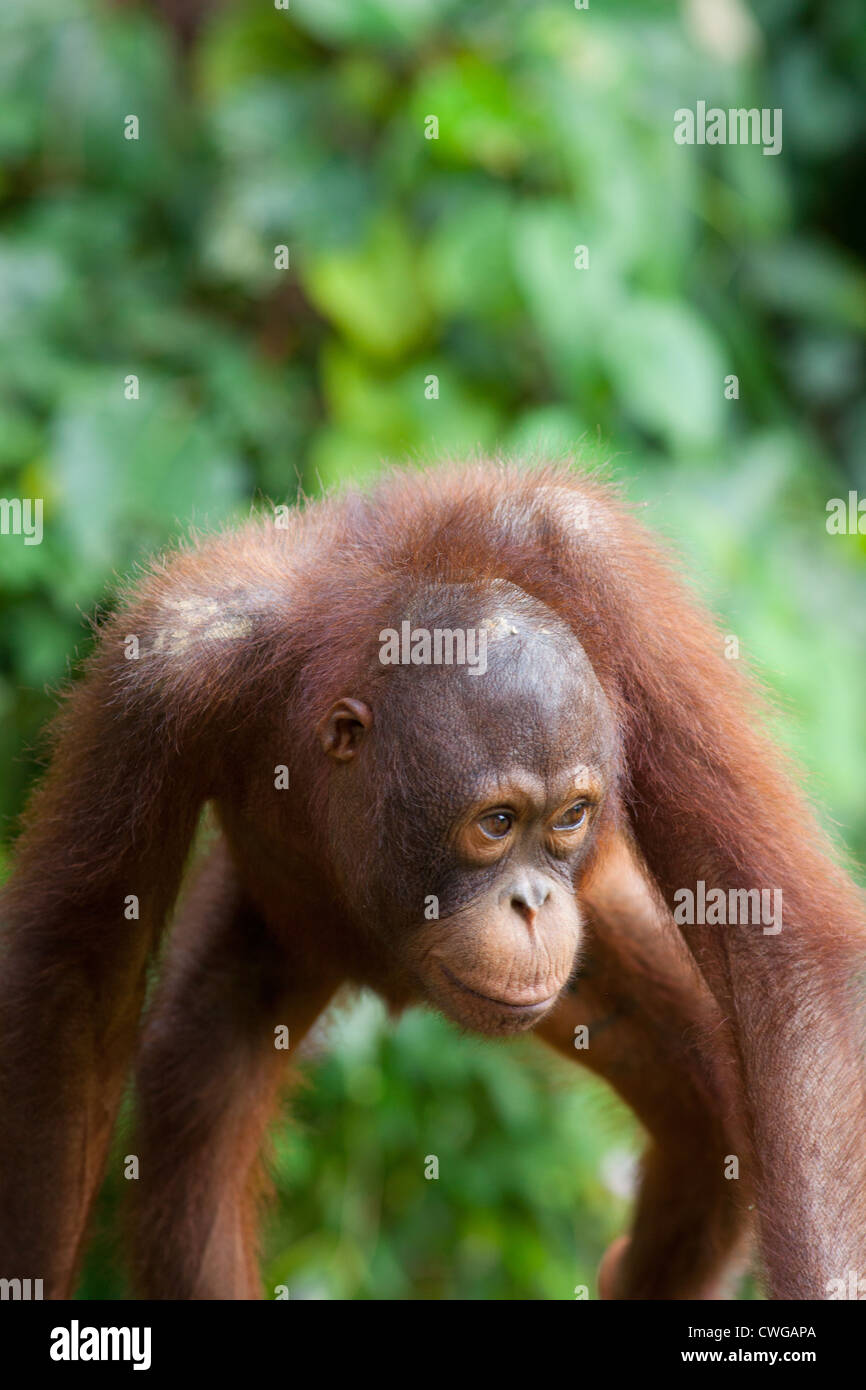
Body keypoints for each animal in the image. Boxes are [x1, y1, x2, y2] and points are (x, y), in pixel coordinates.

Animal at [0, 460, 864, 1300]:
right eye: (497, 823)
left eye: (571, 818)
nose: (534, 903)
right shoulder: (164, 667)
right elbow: (73, 987)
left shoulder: (608, 574)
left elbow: (783, 947)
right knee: (195, 1104)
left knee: (709, 1109)